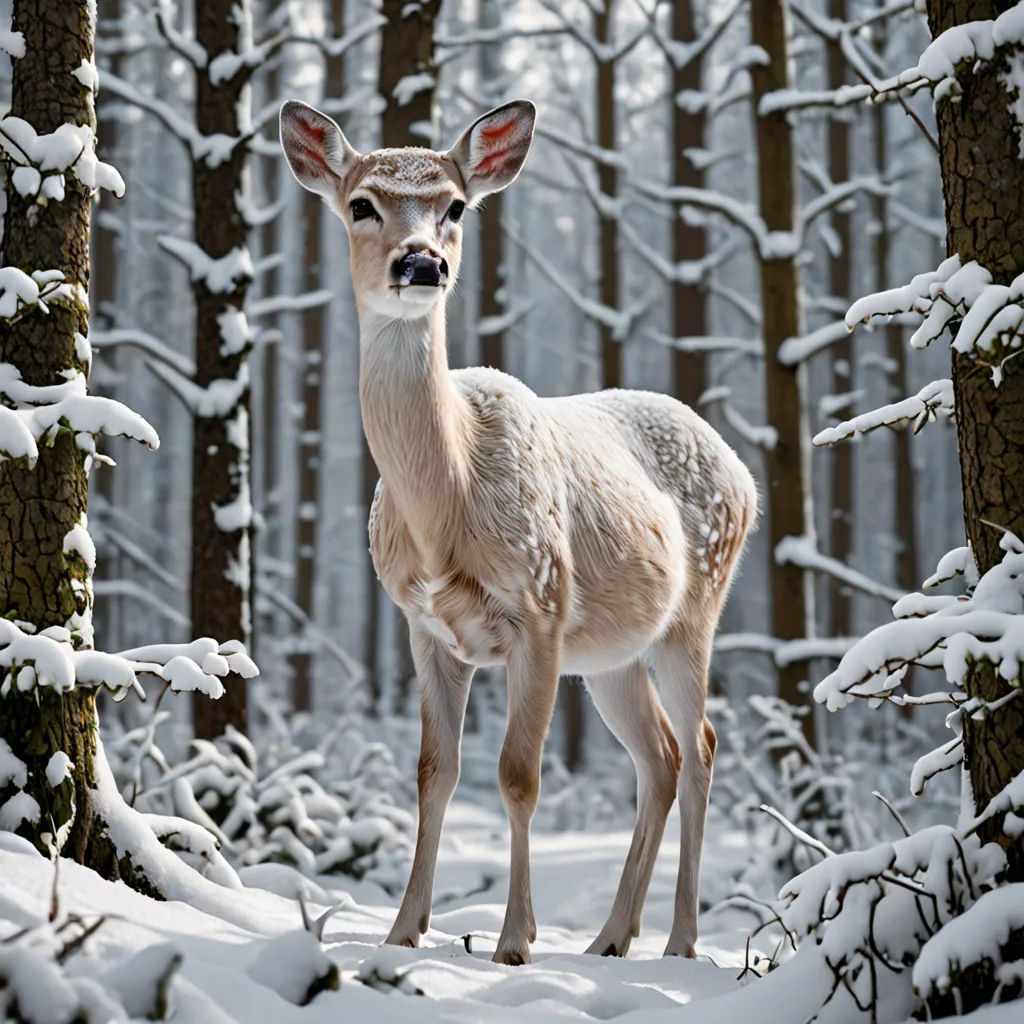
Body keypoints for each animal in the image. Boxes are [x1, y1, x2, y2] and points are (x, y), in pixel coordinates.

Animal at [280, 97, 757, 967]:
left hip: (694, 611)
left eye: (455, 207)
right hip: (610, 655)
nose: (422, 263)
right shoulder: (425, 627)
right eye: (361, 204)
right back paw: (611, 937)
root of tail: (743, 473)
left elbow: (517, 776)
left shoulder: (539, 609)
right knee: (661, 756)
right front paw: (404, 929)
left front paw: (512, 941)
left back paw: (678, 941)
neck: (446, 511)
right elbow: (435, 771)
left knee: (701, 746)